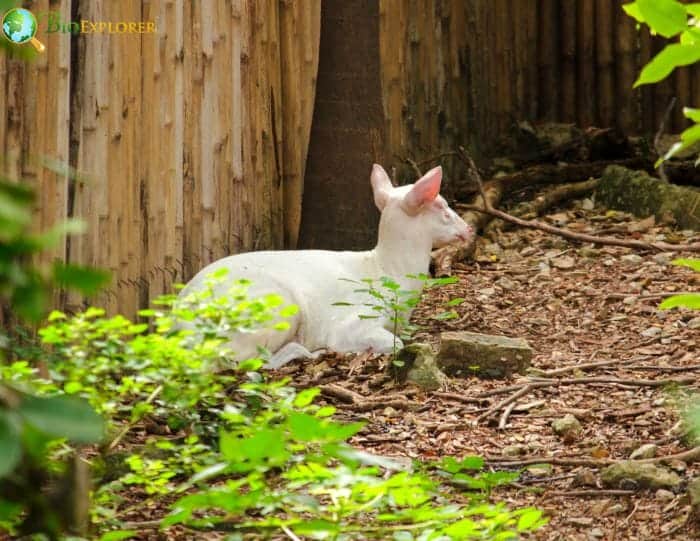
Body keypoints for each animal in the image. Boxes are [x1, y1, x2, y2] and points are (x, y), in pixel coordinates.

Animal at [178, 164, 473, 368]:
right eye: (442, 208)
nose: (469, 229)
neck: (387, 272)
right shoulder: (352, 321)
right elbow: (394, 343)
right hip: (275, 310)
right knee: (244, 362)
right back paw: (307, 352)